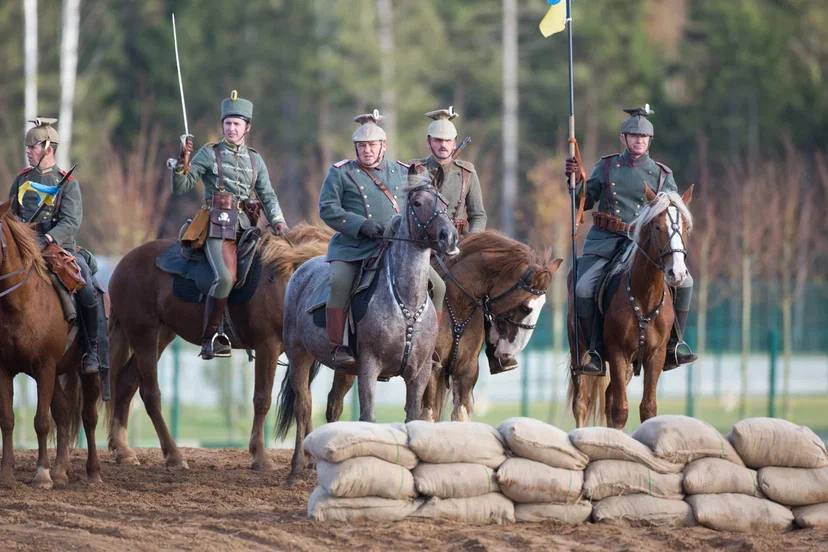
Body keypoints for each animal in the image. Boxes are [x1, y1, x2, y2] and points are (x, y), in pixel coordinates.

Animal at [0, 202, 102, 488]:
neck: (18, 301)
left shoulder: (44, 366)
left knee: (89, 418)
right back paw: (61, 471)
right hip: (58, 372)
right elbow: (8, 420)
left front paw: (41, 474)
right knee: (64, 413)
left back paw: (93, 472)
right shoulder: (5, 369)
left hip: (90, 373)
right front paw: (7, 474)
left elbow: (41, 421)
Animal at [105, 224, 332, 470]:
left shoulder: (302, 355)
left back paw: (124, 451)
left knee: (126, 382)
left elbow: (305, 401)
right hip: (144, 335)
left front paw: (311, 458)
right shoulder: (267, 347)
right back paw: (174, 455)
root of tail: (123, 265)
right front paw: (260, 457)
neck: (288, 281)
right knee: (150, 394)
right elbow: (263, 399)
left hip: (160, 336)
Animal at [276, 179, 460, 480]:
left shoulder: (419, 373)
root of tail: (302, 270)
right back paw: (296, 468)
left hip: (344, 369)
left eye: (444, 201)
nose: (450, 237)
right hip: (299, 356)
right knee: (304, 406)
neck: (406, 301)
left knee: (333, 406)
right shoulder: (369, 367)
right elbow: (369, 418)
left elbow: (413, 417)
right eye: (418, 203)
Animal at [324, 229, 564, 422]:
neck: (457, 303)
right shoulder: (431, 371)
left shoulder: (466, 373)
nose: (508, 355)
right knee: (335, 404)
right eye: (525, 308)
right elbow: (428, 416)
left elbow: (458, 416)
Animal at [568, 188, 692, 430]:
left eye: (684, 226)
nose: (677, 273)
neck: (644, 297)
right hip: (579, 354)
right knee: (581, 403)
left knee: (608, 397)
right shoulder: (618, 353)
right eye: (657, 226)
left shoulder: (655, 355)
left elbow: (647, 408)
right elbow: (620, 410)